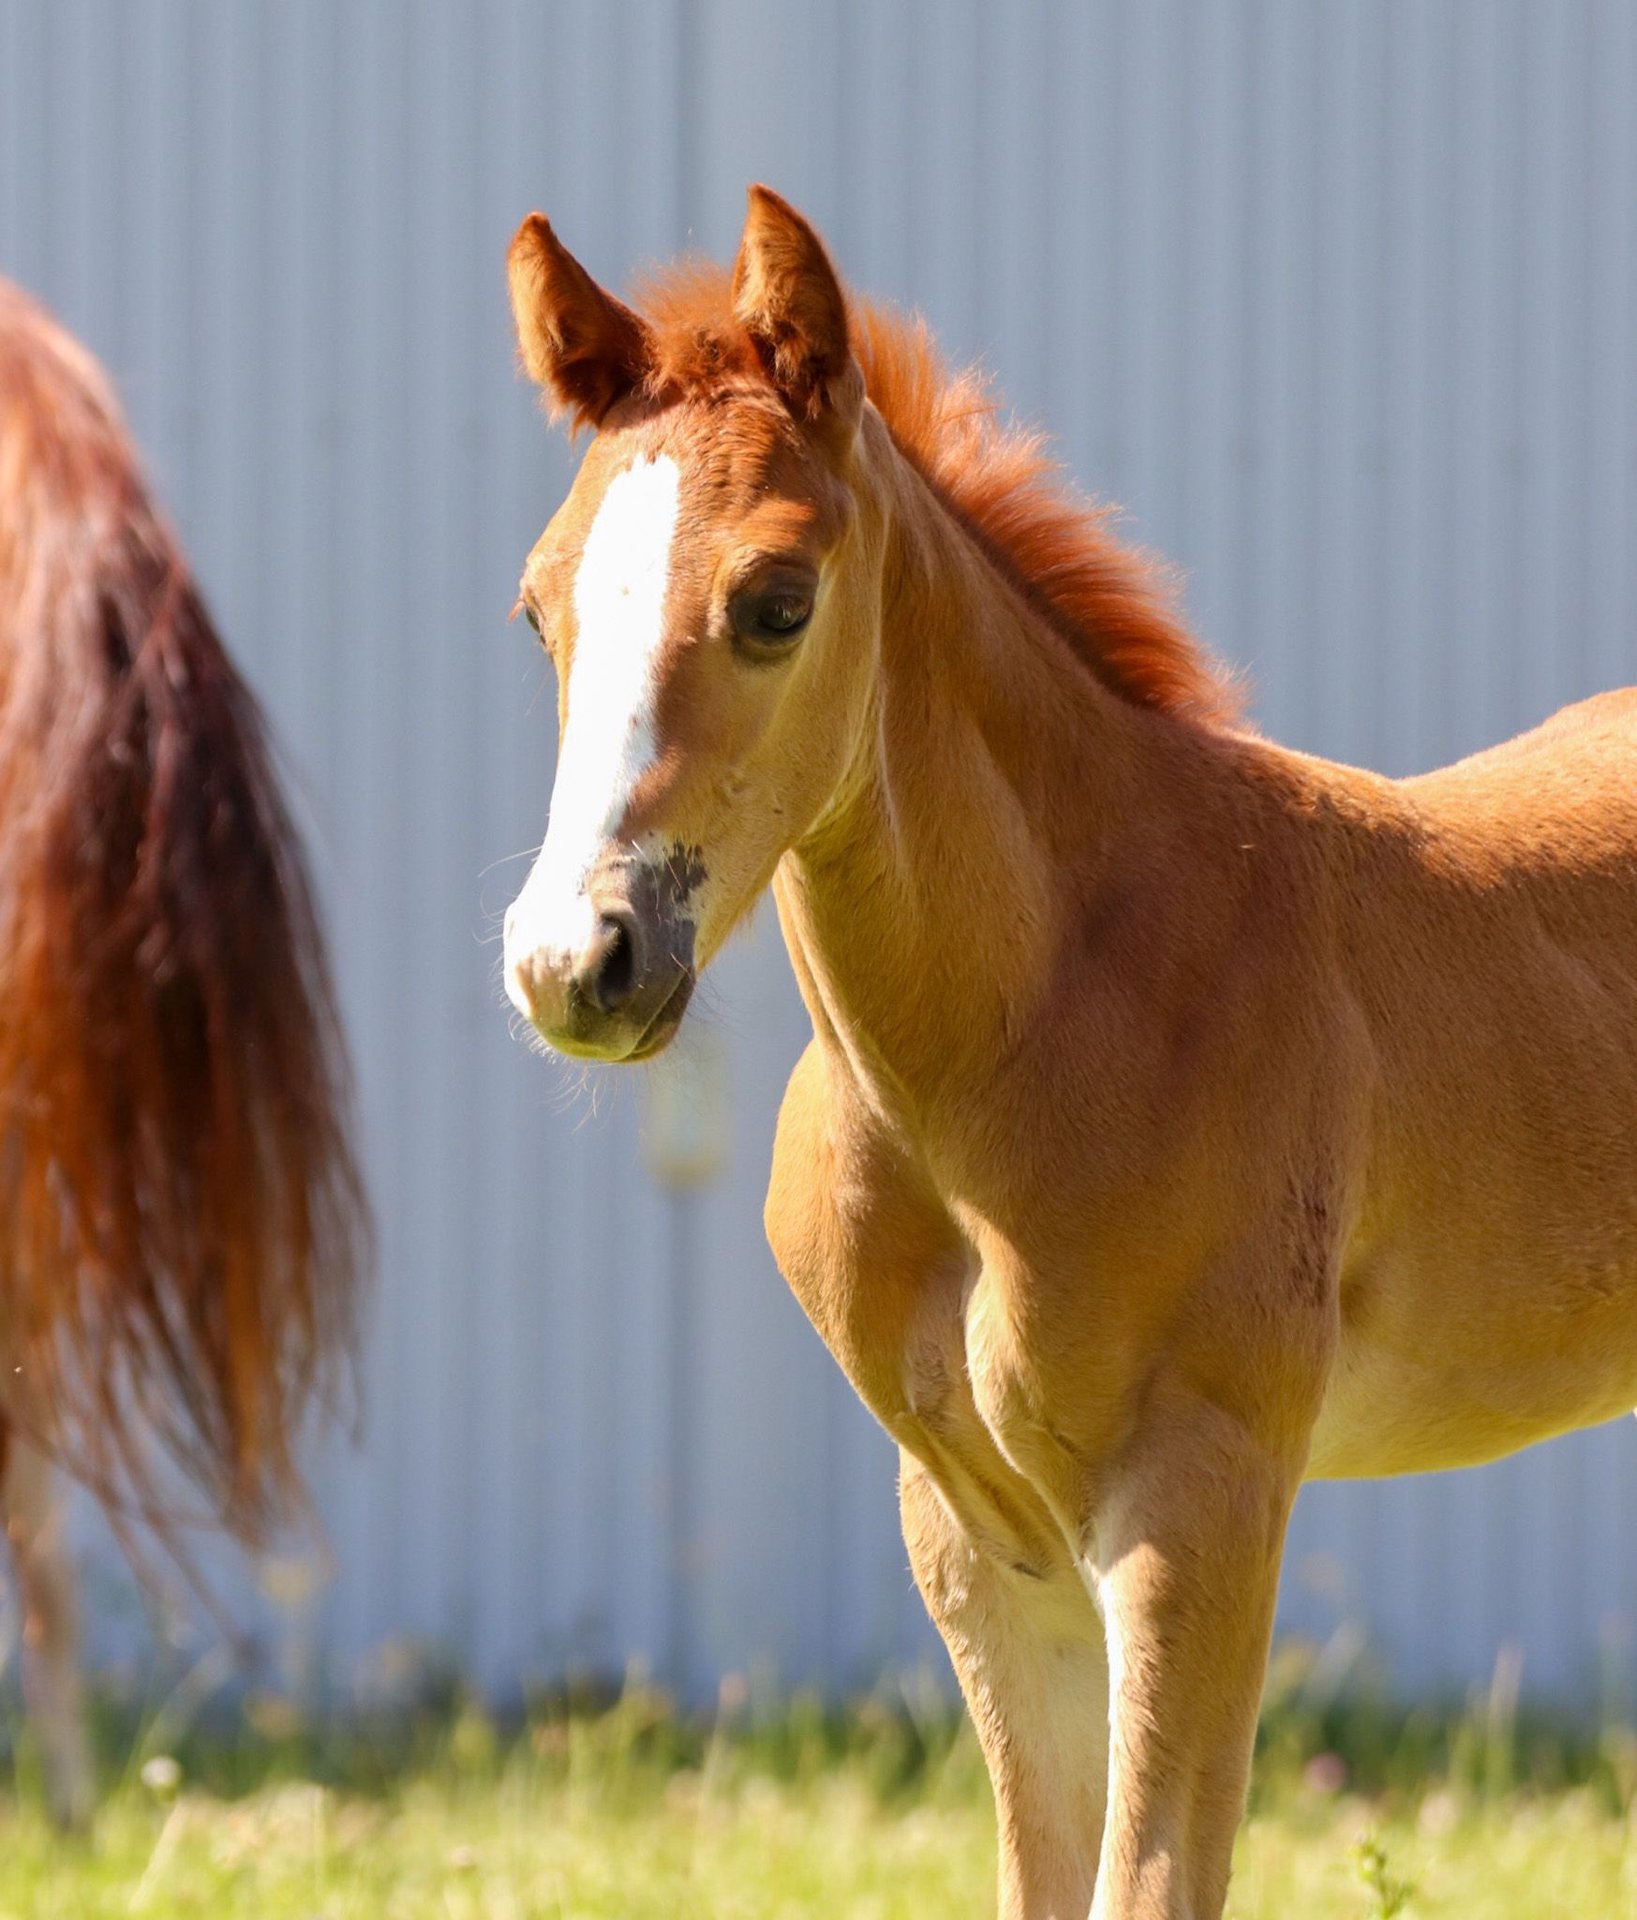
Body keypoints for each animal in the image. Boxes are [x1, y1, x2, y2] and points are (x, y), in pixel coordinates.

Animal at [498, 185, 1637, 1919]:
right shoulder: (981, 1533)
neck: (1026, 1030)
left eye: (776, 600)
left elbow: (1149, 1882)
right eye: (539, 606)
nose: (575, 963)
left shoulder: (1198, 1503)